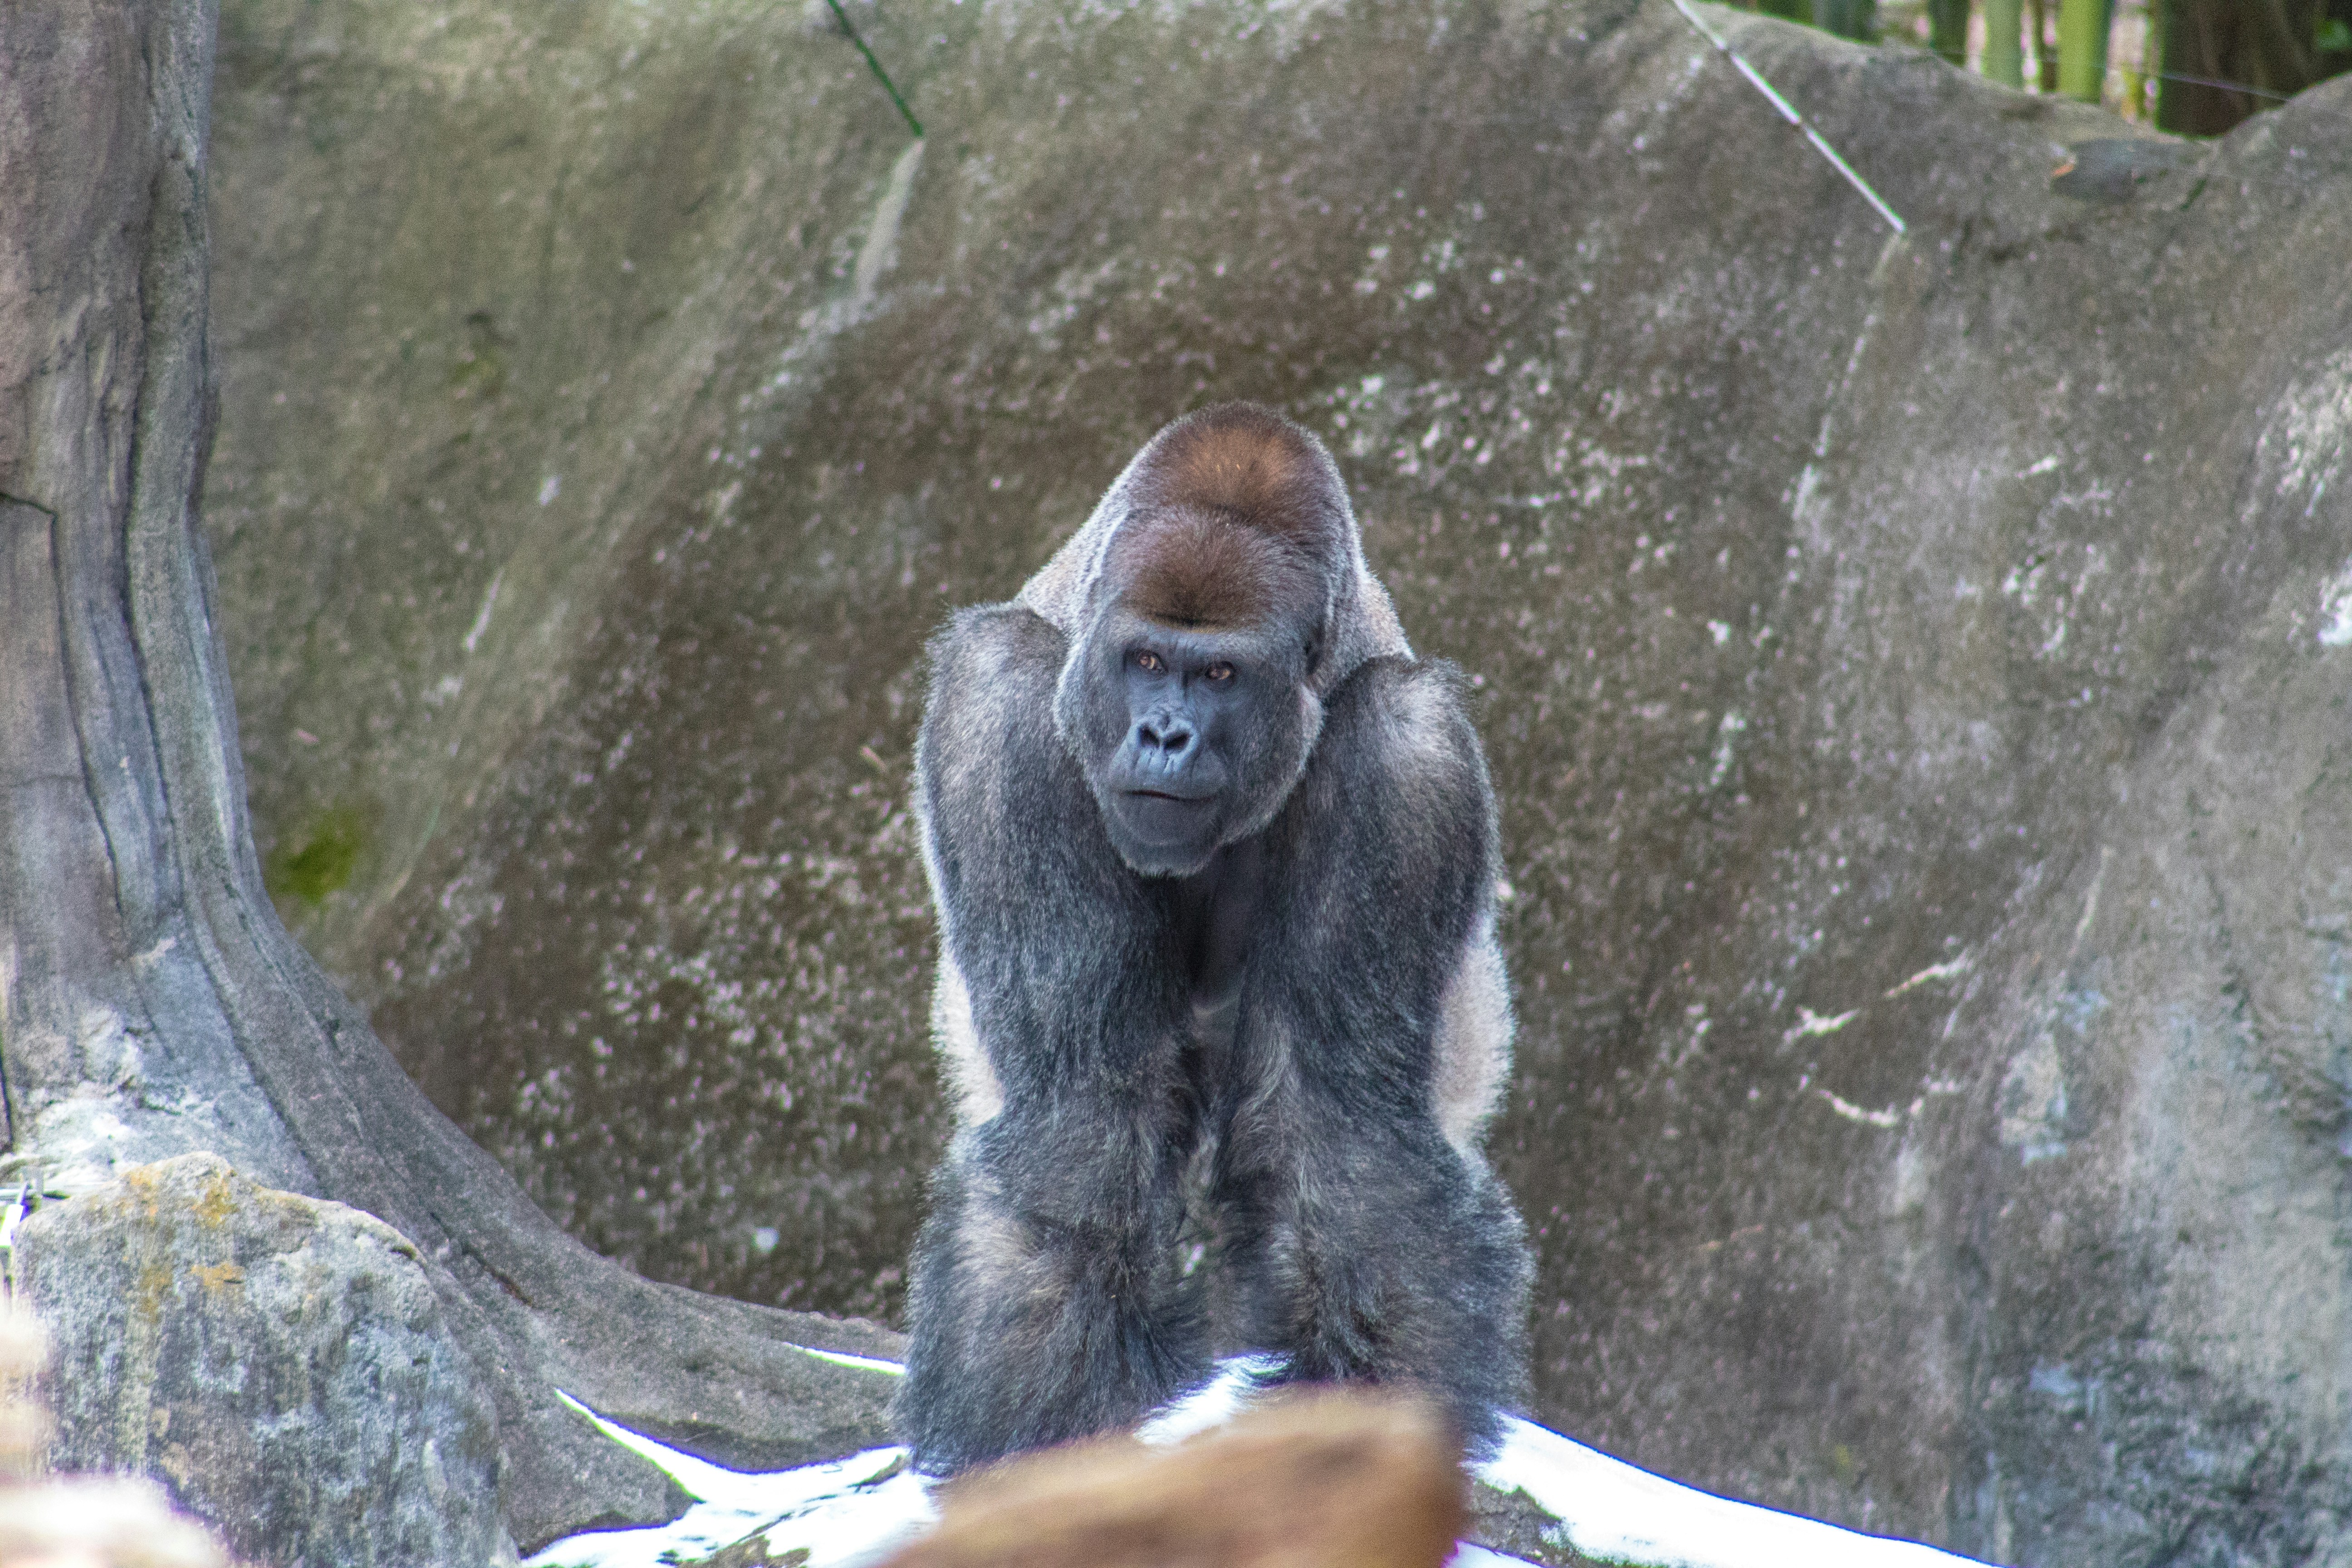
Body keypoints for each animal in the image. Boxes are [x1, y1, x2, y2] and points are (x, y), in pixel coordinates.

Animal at [895, 403, 1531, 1476]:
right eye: (1147, 661)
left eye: (1222, 674)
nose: (1164, 736)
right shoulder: (1005, 704)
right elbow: (1082, 1113)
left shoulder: (1408, 751)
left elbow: (1345, 1134)